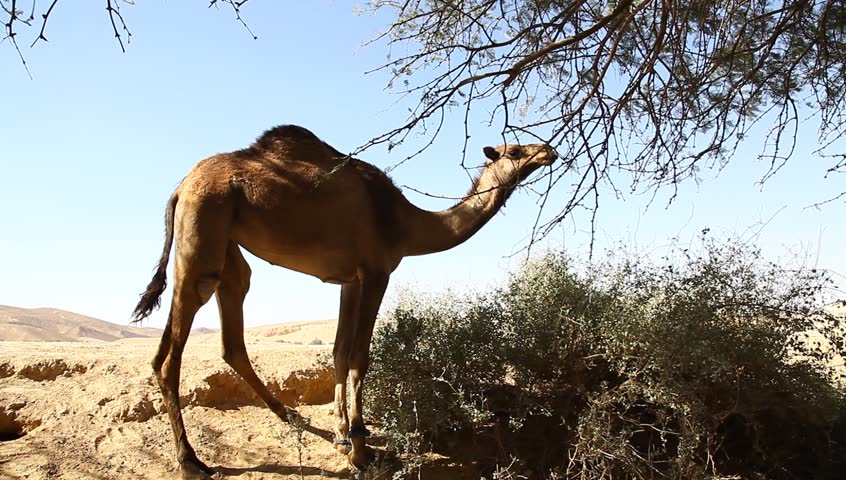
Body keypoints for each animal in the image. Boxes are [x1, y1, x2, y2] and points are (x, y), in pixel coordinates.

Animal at [131, 125, 556, 478]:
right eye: (515, 150)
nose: (548, 151)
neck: (405, 222)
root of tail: (180, 187)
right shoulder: (377, 271)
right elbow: (358, 357)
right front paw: (360, 448)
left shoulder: (348, 281)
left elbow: (338, 351)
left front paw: (341, 435)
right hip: (204, 230)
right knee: (173, 353)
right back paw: (190, 461)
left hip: (223, 247)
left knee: (220, 328)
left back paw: (291, 417)